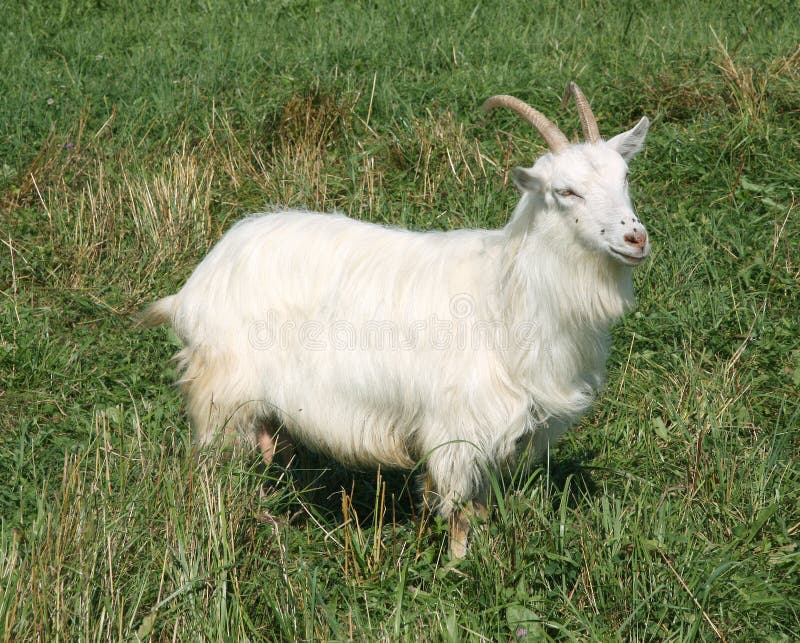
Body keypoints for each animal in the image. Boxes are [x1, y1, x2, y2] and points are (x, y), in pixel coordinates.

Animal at [142, 82, 650, 557]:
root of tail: (196, 284)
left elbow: (481, 507)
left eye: (624, 177)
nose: (635, 238)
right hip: (221, 396)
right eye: (565, 191)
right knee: (212, 470)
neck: (507, 293)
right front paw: (460, 568)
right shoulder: (457, 429)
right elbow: (459, 512)